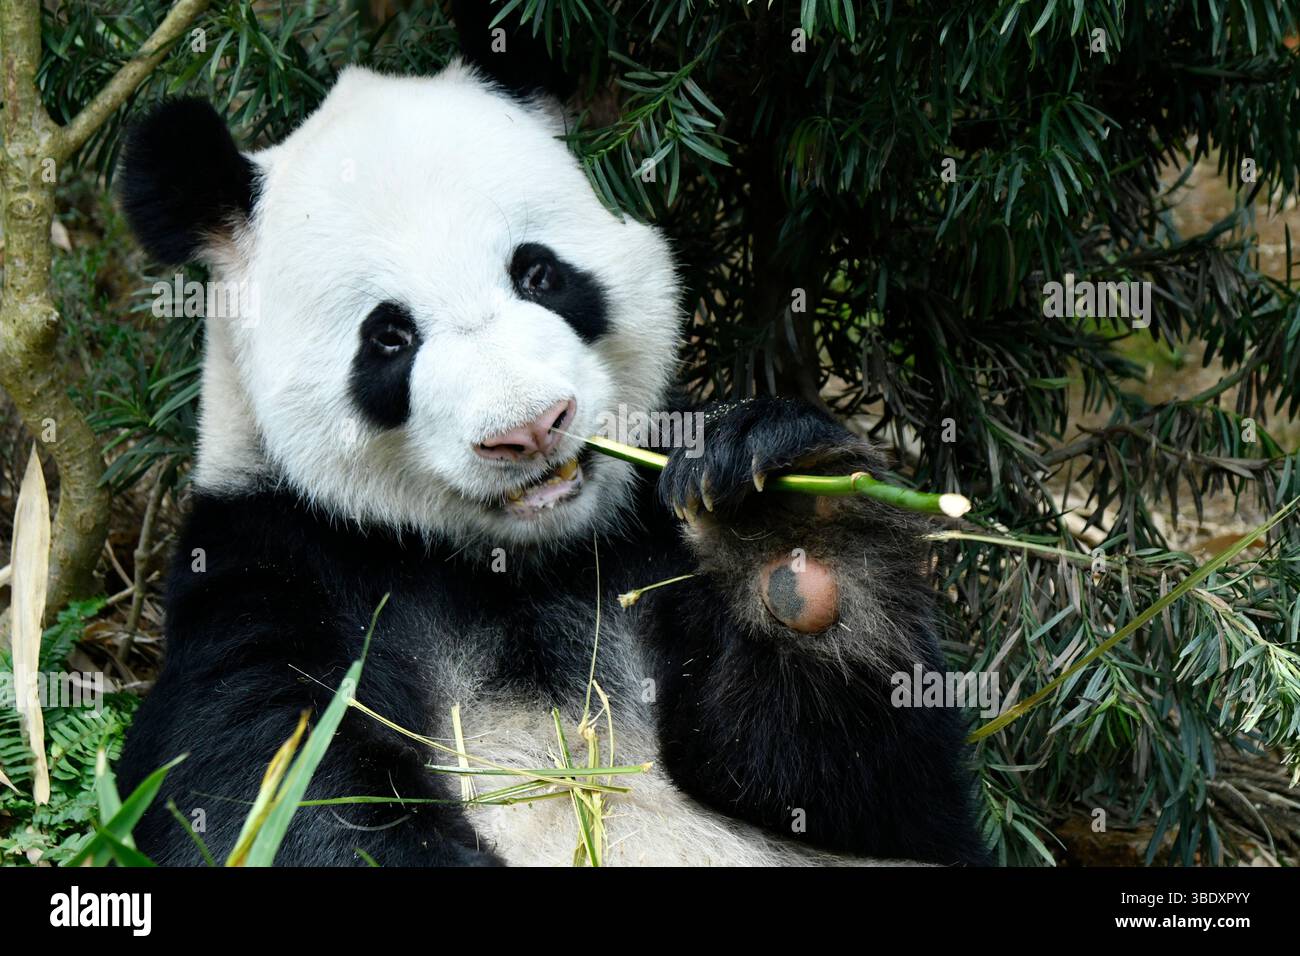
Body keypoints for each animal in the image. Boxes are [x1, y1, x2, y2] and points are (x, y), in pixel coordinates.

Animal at [114, 8, 988, 867]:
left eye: (538, 273)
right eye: (388, 337)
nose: (529, 427)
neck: (518, 566)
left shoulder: (643, 541)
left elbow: (855, 790)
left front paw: (789, 532)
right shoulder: (271, 568)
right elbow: (269, 799)